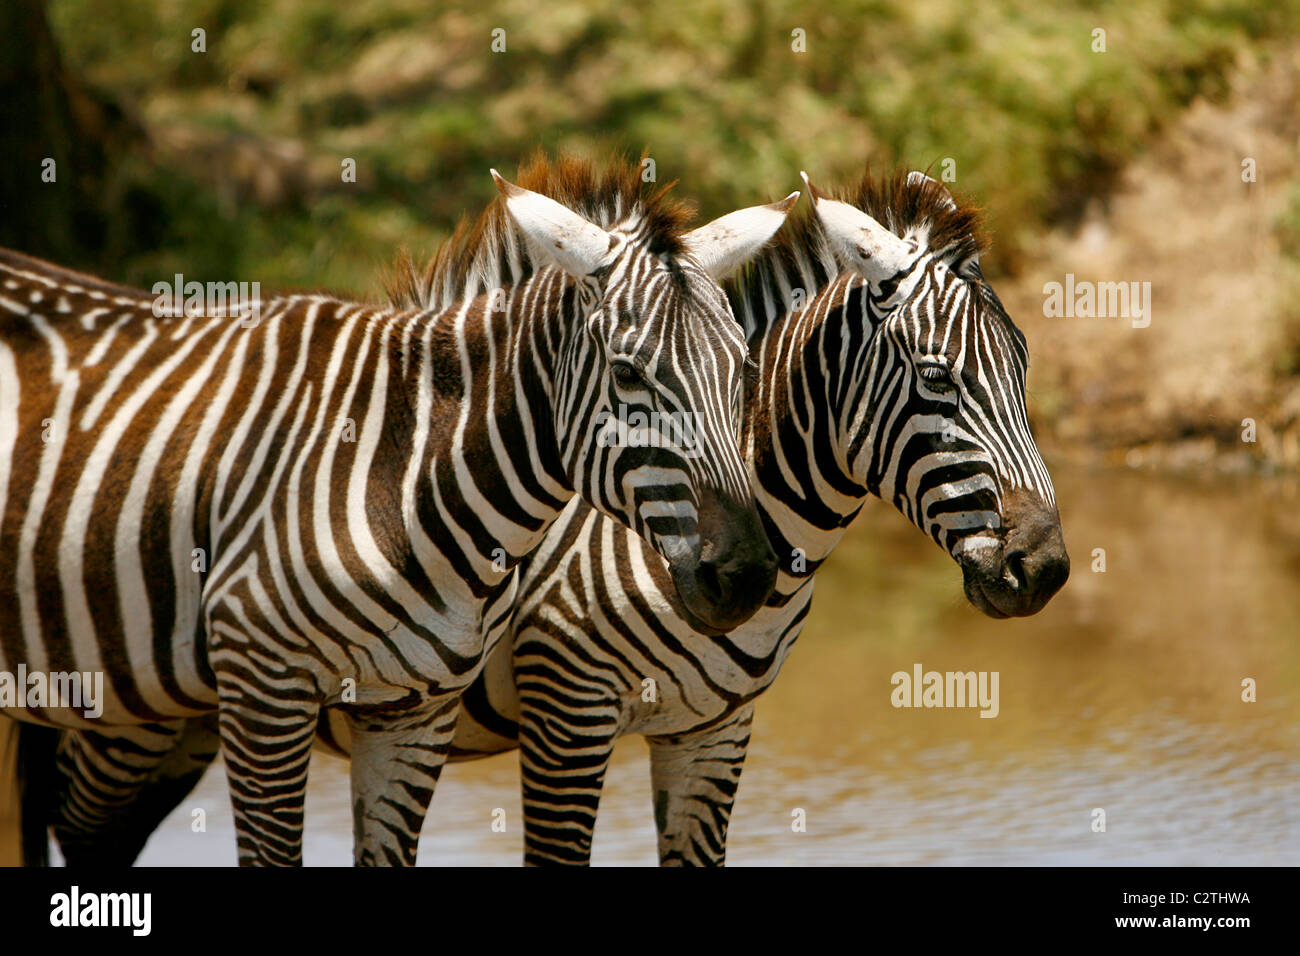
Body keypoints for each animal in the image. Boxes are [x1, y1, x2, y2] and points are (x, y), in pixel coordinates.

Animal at [12, 166, 1069, 867]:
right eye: (936, 380)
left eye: (1025, 371)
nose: (1047, 569)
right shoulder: (569, 707)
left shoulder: (714, 732)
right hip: (131, 707)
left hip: (170, 723)